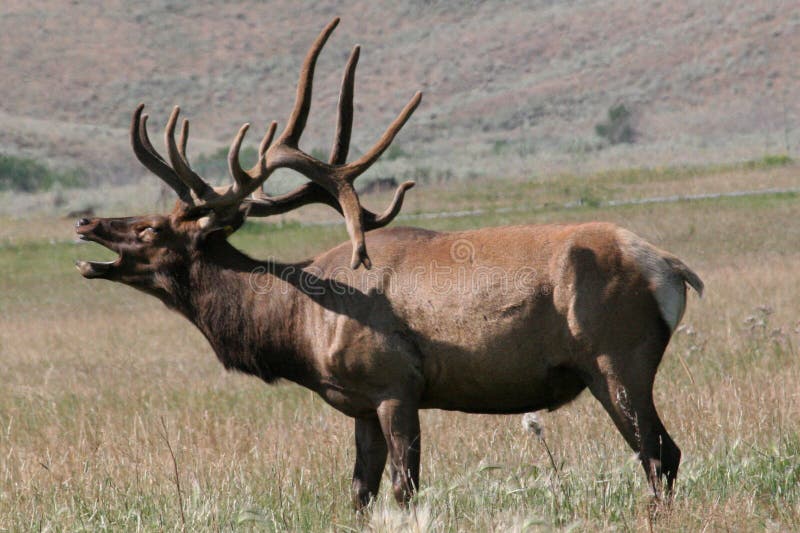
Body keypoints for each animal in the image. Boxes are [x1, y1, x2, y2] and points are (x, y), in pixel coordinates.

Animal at [75, 18, 703, 510]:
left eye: (151, 228)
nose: (86, 223)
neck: (299, 324)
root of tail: (672, 270)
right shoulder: (359, 403)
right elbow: (360, 491)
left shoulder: (395, 383)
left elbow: (405, 489)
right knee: (661, 454)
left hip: (616, 359)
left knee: (659, 454)